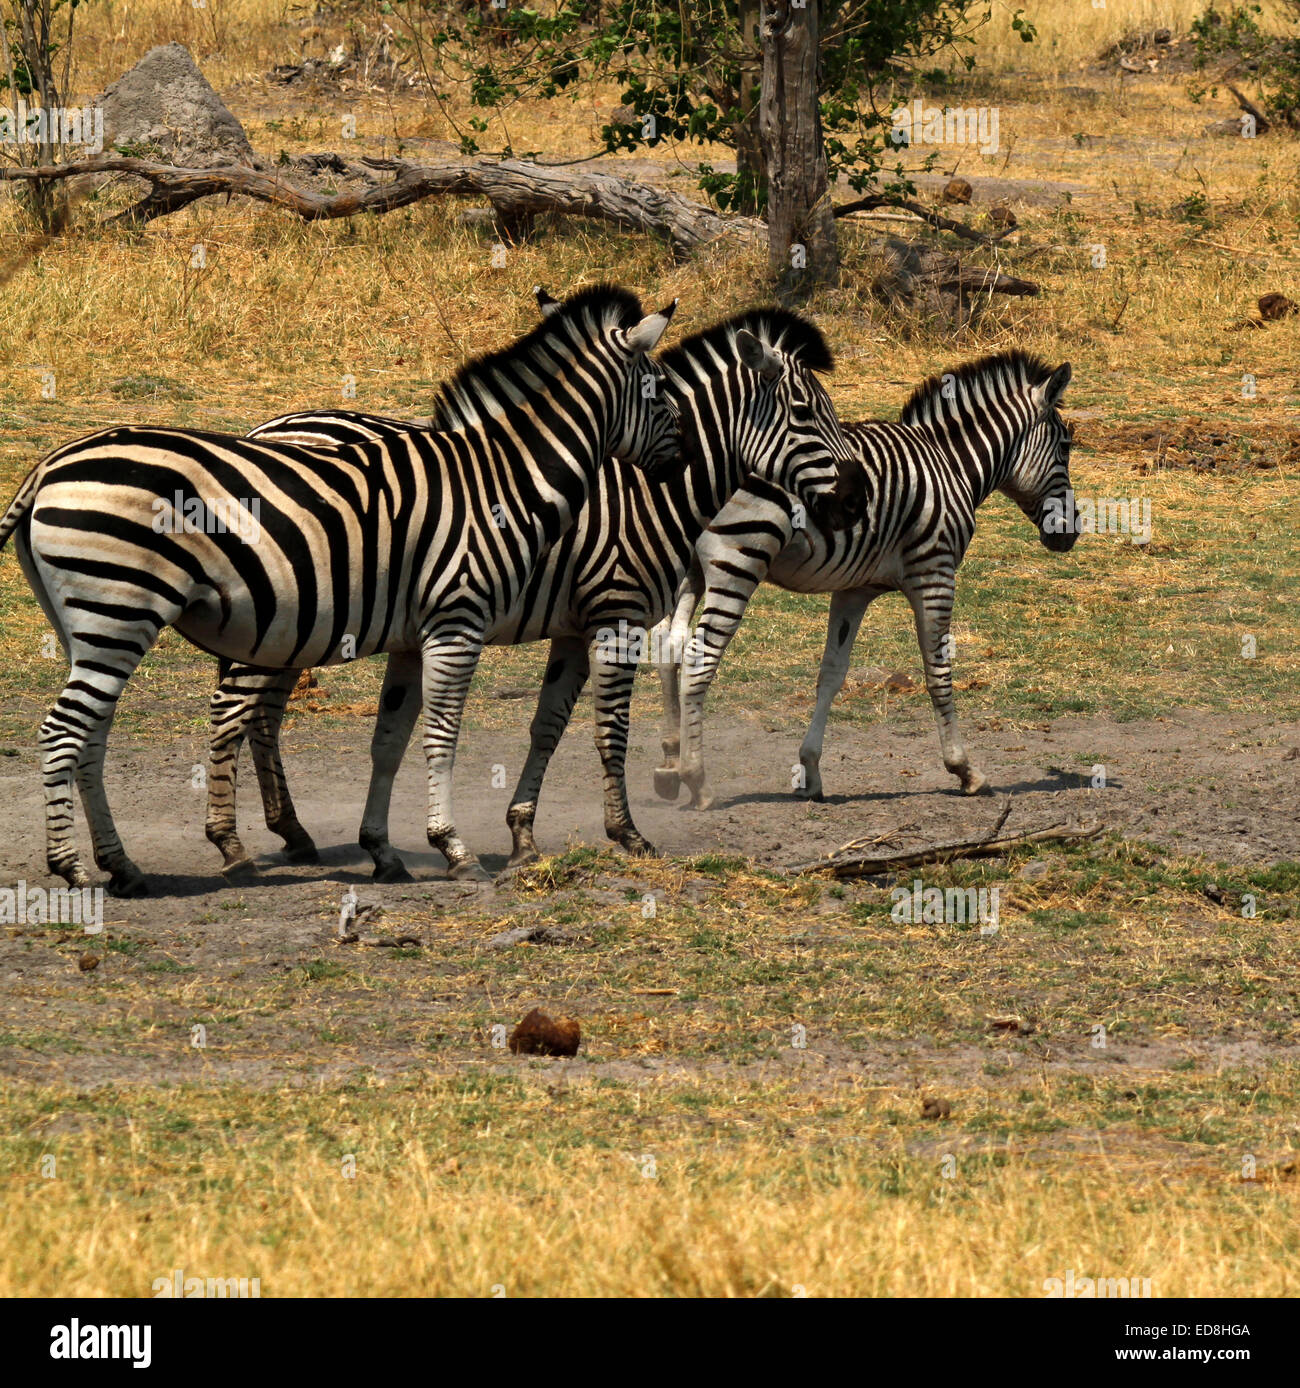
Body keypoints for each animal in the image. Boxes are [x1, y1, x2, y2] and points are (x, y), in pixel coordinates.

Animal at [0, 284, 684, 895]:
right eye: (662, 398)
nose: (679, 468)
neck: (503, 478)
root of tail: (48, 465)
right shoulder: (459, 620)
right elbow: (442, 734)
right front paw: (455, 850)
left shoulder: (417, 632)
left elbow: (392, 738)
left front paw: (388, 850)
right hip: (118, 610)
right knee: (64, 731)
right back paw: (74, 868)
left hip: (90, 625)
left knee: (95, 734)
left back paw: (125, 867)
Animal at [200, 299, 866, 880]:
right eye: (805, 413)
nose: (856, 501)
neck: (645, 492)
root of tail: (267, 426)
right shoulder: (617, 611)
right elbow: (609, 730)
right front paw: (627, 833)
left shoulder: (572, 626)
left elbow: (547, 727)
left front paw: (522, 835)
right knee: (239, 709)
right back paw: (237, 843)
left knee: (261, 713)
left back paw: (291, 832)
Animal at [649, 350, 1077, 810]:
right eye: (1066, 447)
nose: (1072, 532)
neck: (950, 463)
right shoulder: (936, 572)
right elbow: (938, 670)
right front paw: (964, 770)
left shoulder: (854, 590)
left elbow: (832, 673)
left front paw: (811, 771)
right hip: (738, 562)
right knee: (698, 659)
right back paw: (696, 778)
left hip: (688, 569)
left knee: (668, 646)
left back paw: (670, 764)